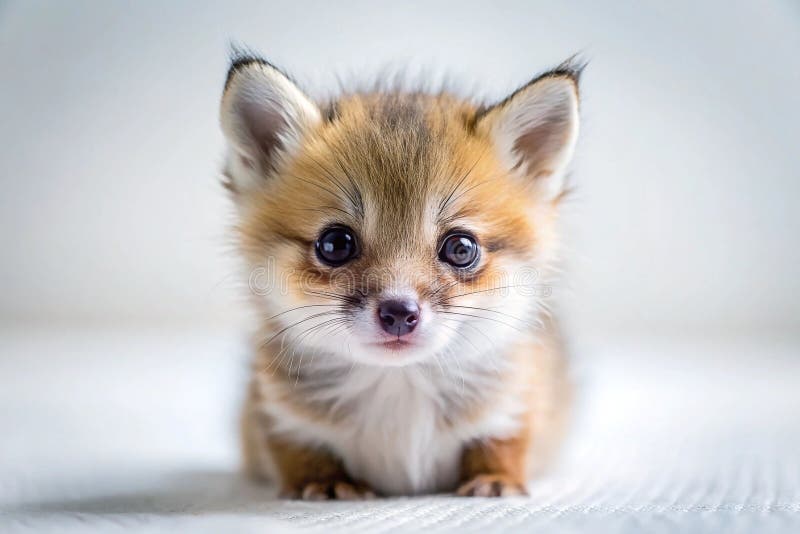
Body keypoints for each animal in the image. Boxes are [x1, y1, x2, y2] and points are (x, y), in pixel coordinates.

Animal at [220, 52, 581, 499]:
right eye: (335, 244)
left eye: (461, 248)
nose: (398, 313)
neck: (398, 391)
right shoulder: (278, 416)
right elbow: (298, 450)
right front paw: (323, 482)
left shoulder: (514, 405)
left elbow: (502, 443)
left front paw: (496, 480)